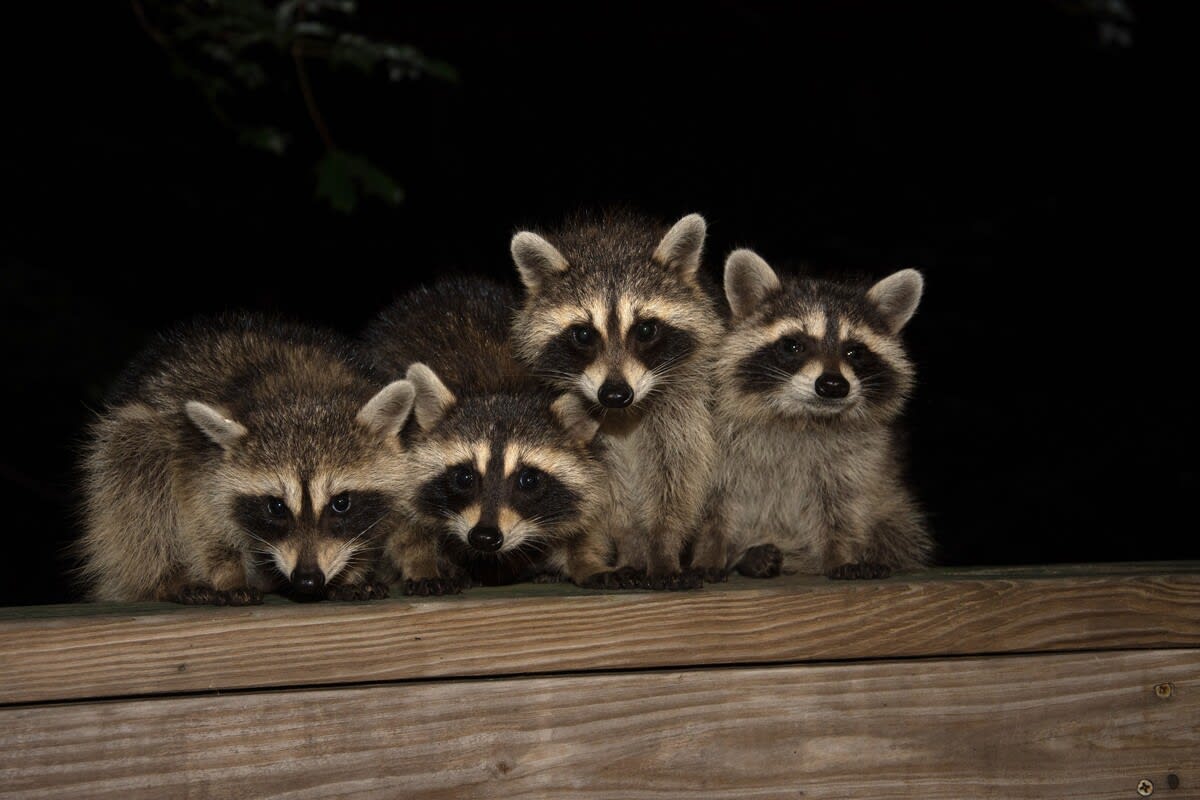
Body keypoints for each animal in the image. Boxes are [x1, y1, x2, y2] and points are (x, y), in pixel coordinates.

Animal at [74, 311, 415, 604]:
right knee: (138, 479)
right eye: (275, 506)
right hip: (132, 438)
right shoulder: (198, 461)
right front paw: (227, 573)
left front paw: (353, 572)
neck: (301, 392)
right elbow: (205, 525)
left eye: (341, 502)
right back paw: (165, 577)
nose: (307, 580)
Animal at [361, 275, 615, 594]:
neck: (500, 388)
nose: (484, 537)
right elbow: (404, 525)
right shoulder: (399, 456)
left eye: (529, 480)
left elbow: (587, 516)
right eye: (464, 477)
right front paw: (421, 564)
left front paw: (587, 560)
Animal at [508, 209, 725, 589]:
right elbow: (606, 492)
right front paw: (631, 548)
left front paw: (663, 546)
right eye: (582, 334)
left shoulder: (684, 403)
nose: (615, 394)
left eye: (646, 330)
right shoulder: (592, 430)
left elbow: (678, 475)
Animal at [691, 249, 933, 580]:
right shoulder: (717, 444)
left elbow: (843, 507)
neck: (802, 417)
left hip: (895, 509)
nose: (833, 386)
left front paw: (841, 555)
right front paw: (709, 553)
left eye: (854, 351)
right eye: (793, 346)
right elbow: (712, 506)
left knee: (897, 530)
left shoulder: (858, 458)